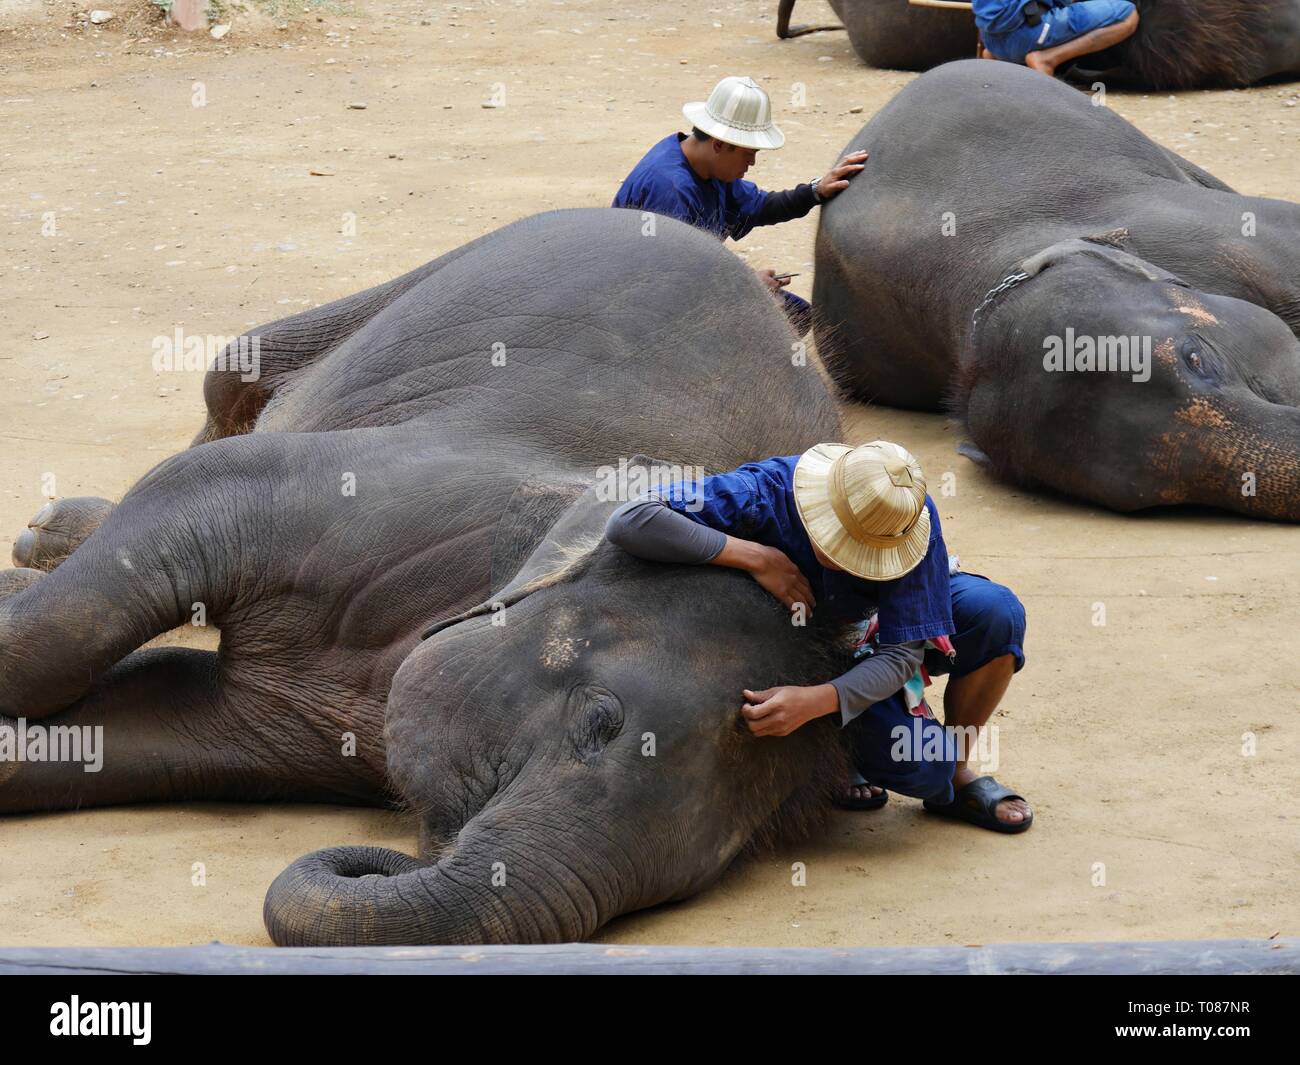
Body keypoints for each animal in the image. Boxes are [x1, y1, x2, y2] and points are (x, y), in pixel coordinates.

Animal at [0, 208, 861, 945]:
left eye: (709, 869)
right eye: (599, 720)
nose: (389, 855)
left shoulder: (286, 727)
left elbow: (154, 716)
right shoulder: (378, 490)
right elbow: (187, 499)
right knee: (227, 384)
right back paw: (43, 539)